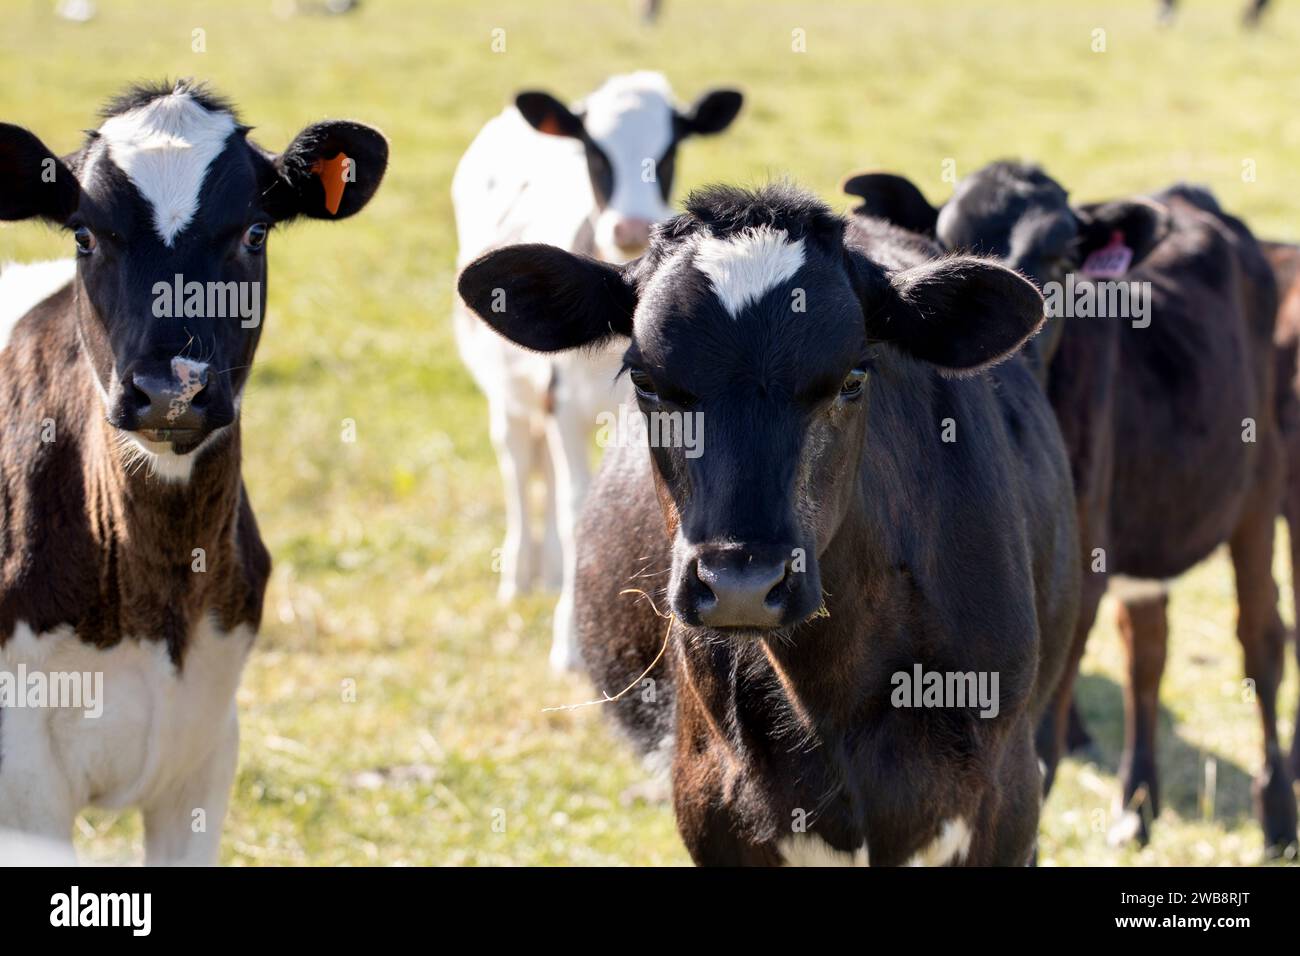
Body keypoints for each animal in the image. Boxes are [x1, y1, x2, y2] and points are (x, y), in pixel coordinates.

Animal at [451, 71, 743, 673]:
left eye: (669, 149)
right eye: (593, 149)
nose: (631, 224)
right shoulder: (564, 408)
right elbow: (575, 508)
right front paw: (571, 642)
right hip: (507, 397)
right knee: (519, 469)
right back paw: (521, 577)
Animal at [843, 161, 1296, 854]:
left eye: (1059, 257)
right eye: (946, 244)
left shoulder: (1075, 575)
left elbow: (1042, 748)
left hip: (1260, 488)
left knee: (1262, 642)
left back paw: (1275, 816)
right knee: (1147, 650)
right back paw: (1137, 806)